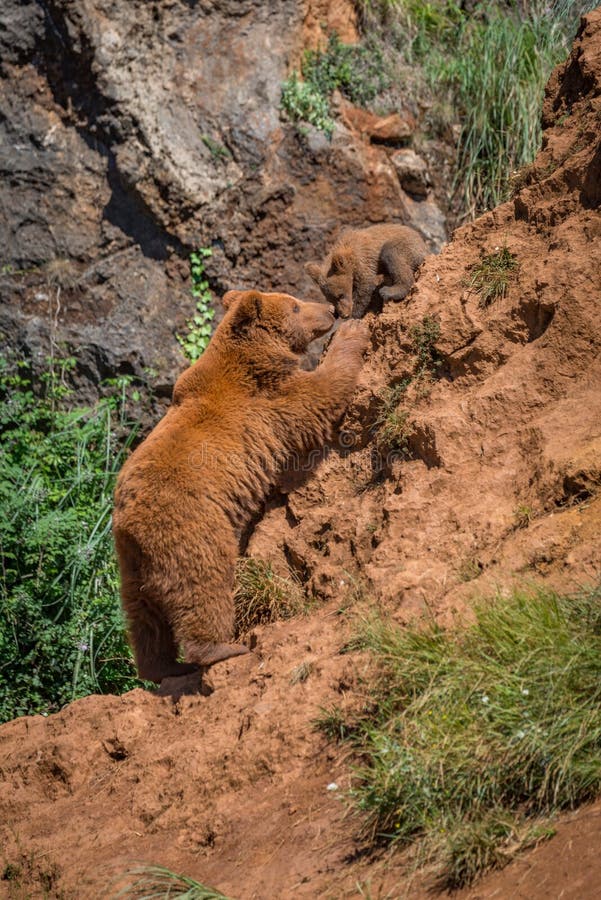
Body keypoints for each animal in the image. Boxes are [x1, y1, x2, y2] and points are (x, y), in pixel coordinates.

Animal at [113, 289, 369, 683]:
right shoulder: (267, 401)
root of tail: (131, 526)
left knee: (144, 617)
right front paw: (353, 333)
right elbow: (319, 393)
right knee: (203, 583)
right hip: (192, 528)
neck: (252, 356)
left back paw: (162, 668)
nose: (330, 309)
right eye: (295, 305)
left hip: (131, 565)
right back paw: (220, 648)